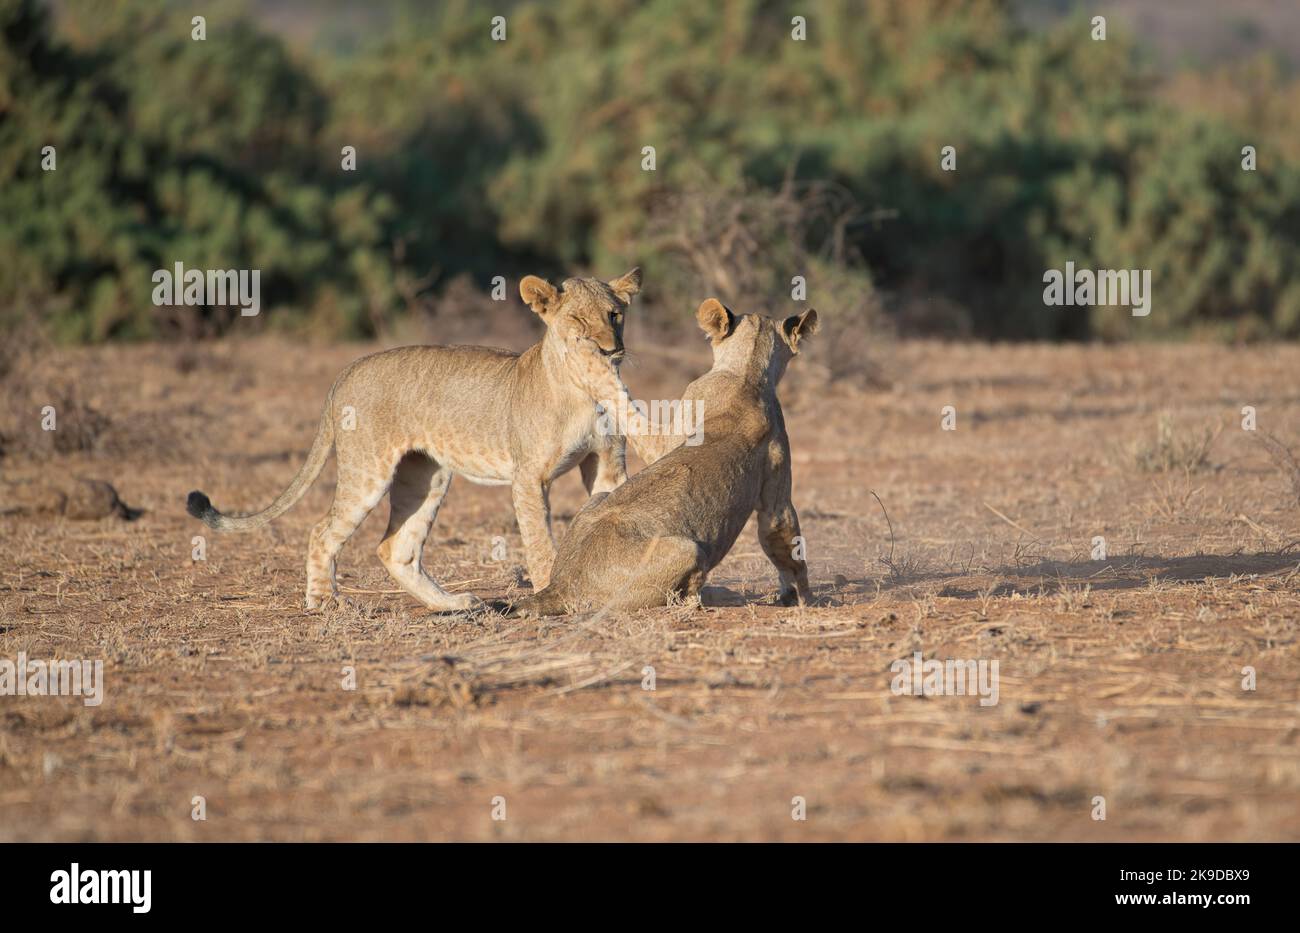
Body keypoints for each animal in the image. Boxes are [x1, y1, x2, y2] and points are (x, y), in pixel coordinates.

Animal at [187, 269, 642, 612]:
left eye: (615, 315)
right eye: (579, 322)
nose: (611, 351)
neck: (584, 394)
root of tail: (348, 369)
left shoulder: (606, 463)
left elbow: (609, 507)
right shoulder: (529, 476)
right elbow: (539, 541)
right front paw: (549, 590)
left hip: (426, 476)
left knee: (395, 548)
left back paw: (454, 605)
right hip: (368, 471)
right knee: (322, 531)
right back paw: (323, 603)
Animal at [511, 299, 818, 615]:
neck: (746, 372)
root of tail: (562, 584)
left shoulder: (678, 423)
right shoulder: (775, 492)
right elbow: (785, 541)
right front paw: (804, 599)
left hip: (613, 505)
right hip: (687, 548)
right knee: (685, 596)